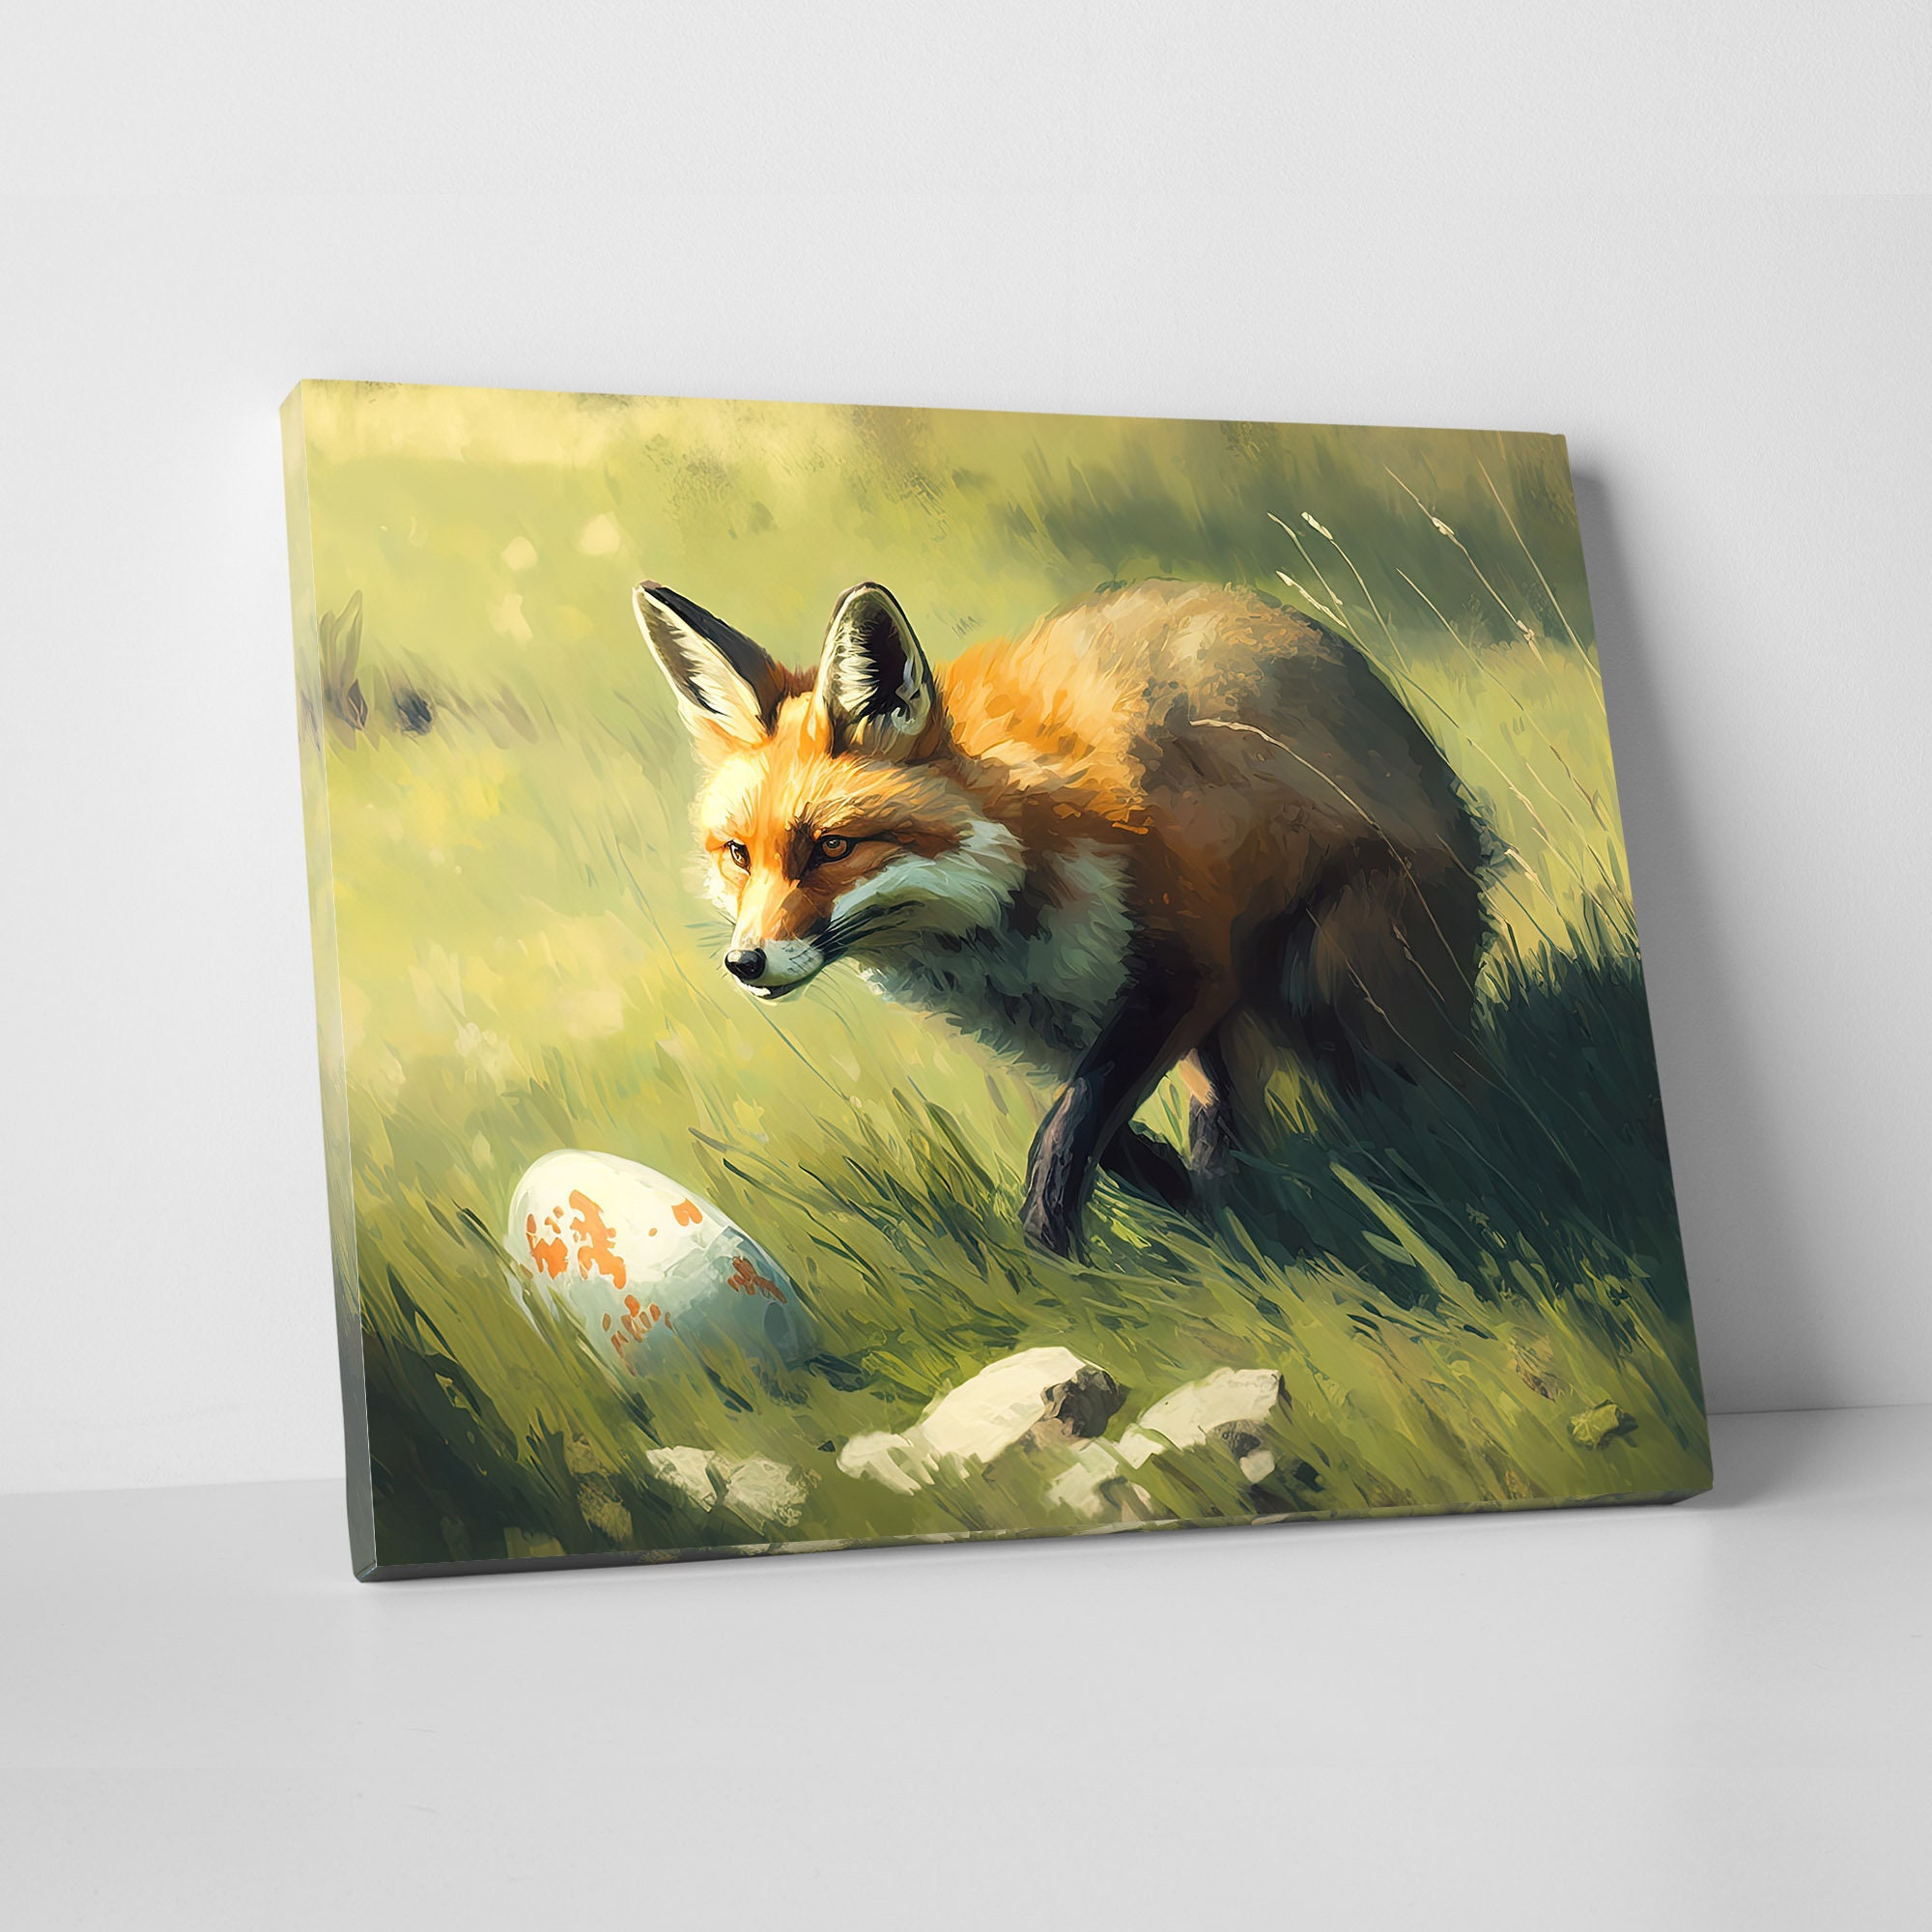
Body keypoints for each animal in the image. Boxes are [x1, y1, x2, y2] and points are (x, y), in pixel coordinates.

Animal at [633, 575, 1488, 1256]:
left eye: (832, 847)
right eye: (739, 854)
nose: (745, 964)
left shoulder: (1193, 966)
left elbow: (1069, 1126)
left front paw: (1055, 1252)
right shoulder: (1038, 1028)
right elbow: (1103, 1132)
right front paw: (1182, 1198)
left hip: (1345, 980)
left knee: (1422, 1095)